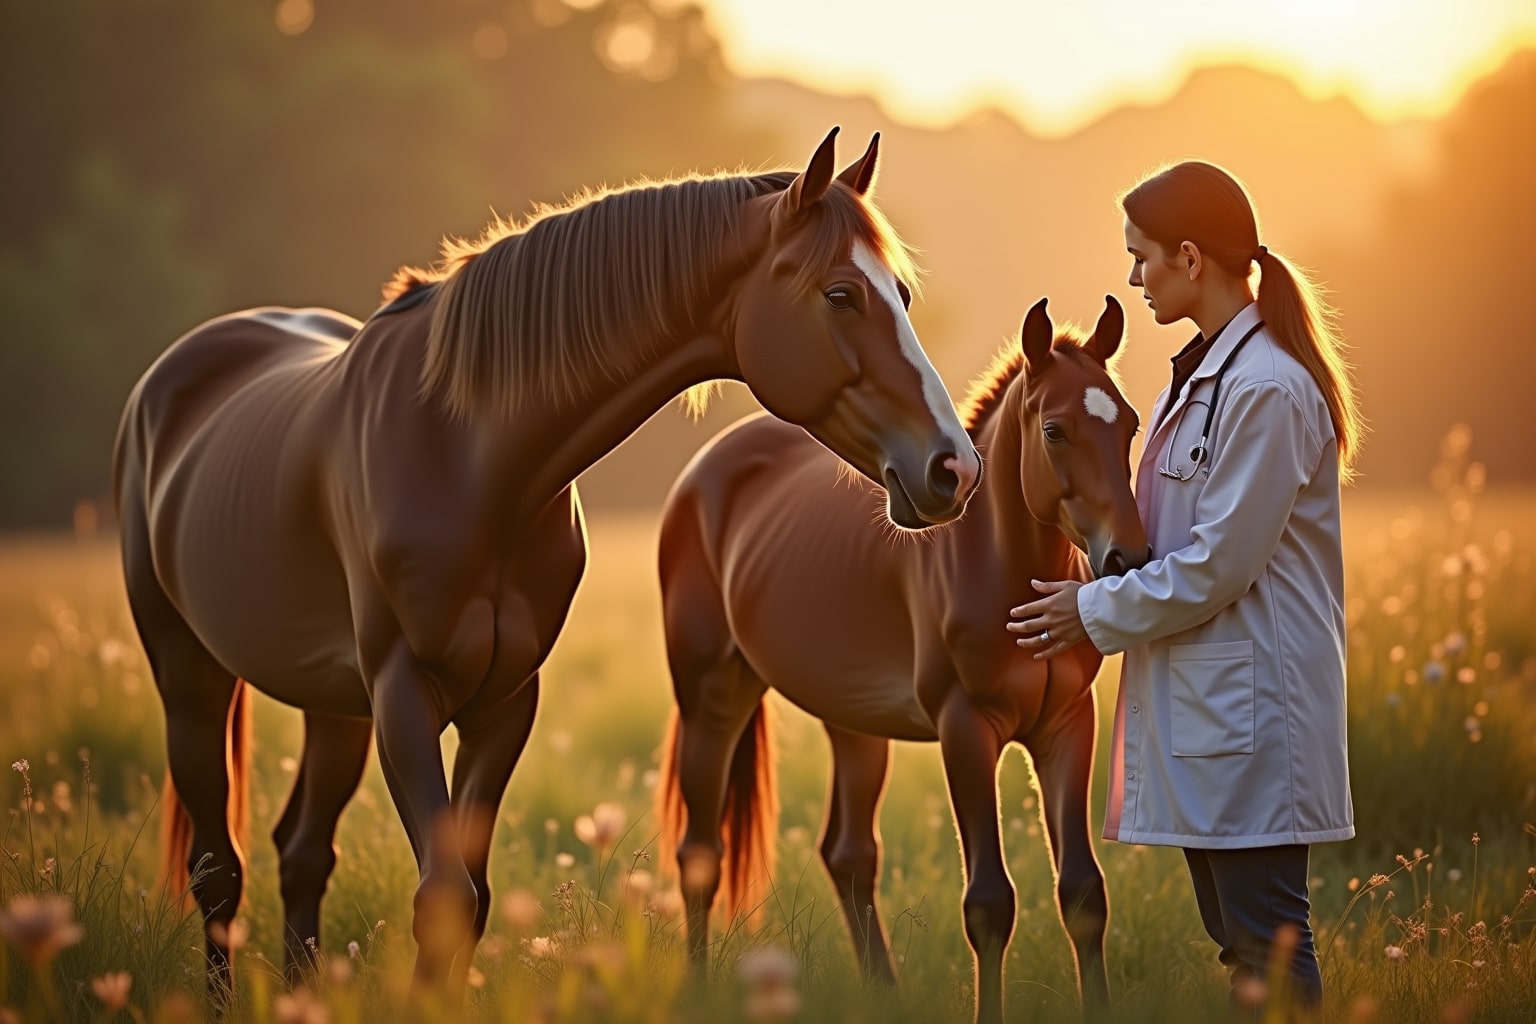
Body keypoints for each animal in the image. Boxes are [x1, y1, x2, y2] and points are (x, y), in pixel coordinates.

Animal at [111, 127, 984, 1001]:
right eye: (841, 294)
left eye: (903, 296)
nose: (954, 468)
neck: (468, 454)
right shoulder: (404, 692)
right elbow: (442, 893)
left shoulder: (505, 700)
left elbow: (471, 897)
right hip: (189, 675)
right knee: (219, 868)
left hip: (335, 709)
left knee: (301, 851)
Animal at [655, 296, 1150, 1024]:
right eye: (1055, 431)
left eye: (1131, 424)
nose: (1127, 558)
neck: (998, 569)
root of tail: (704, 472)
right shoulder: (965, 729)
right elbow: (989, 904)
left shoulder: (1066, 724)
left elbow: (1084, 893)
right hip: (712, 697)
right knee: (700, 855)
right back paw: (694, 989)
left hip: (852, 722)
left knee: (848, 855)